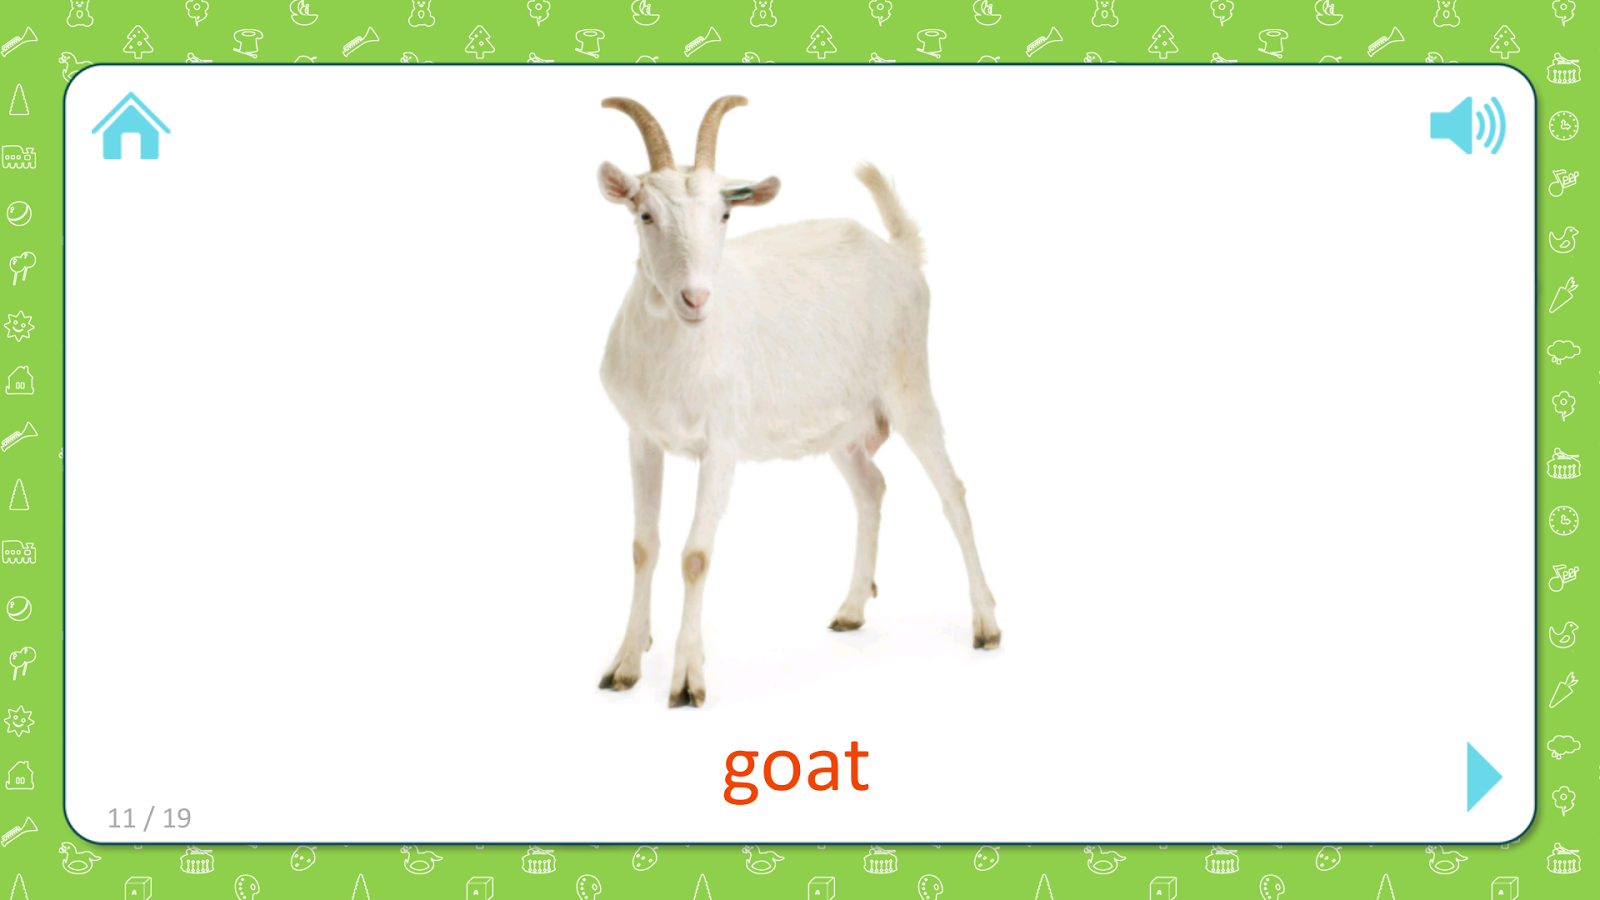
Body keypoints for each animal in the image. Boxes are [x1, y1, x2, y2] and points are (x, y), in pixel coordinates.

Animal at [595, 95, 1000, 708]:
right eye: (645, 214)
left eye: (724, 215)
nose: (695, 297)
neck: (678, 353)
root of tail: (899, 254)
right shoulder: (641, 437)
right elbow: (644, 545)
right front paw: (625, 662)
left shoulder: (721, 445)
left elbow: (695, 555)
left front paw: (688, 679)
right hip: (843, 424)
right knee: (871, 488)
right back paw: (852, 608)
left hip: (909, 384)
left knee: (951, 491)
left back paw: (986, 622)